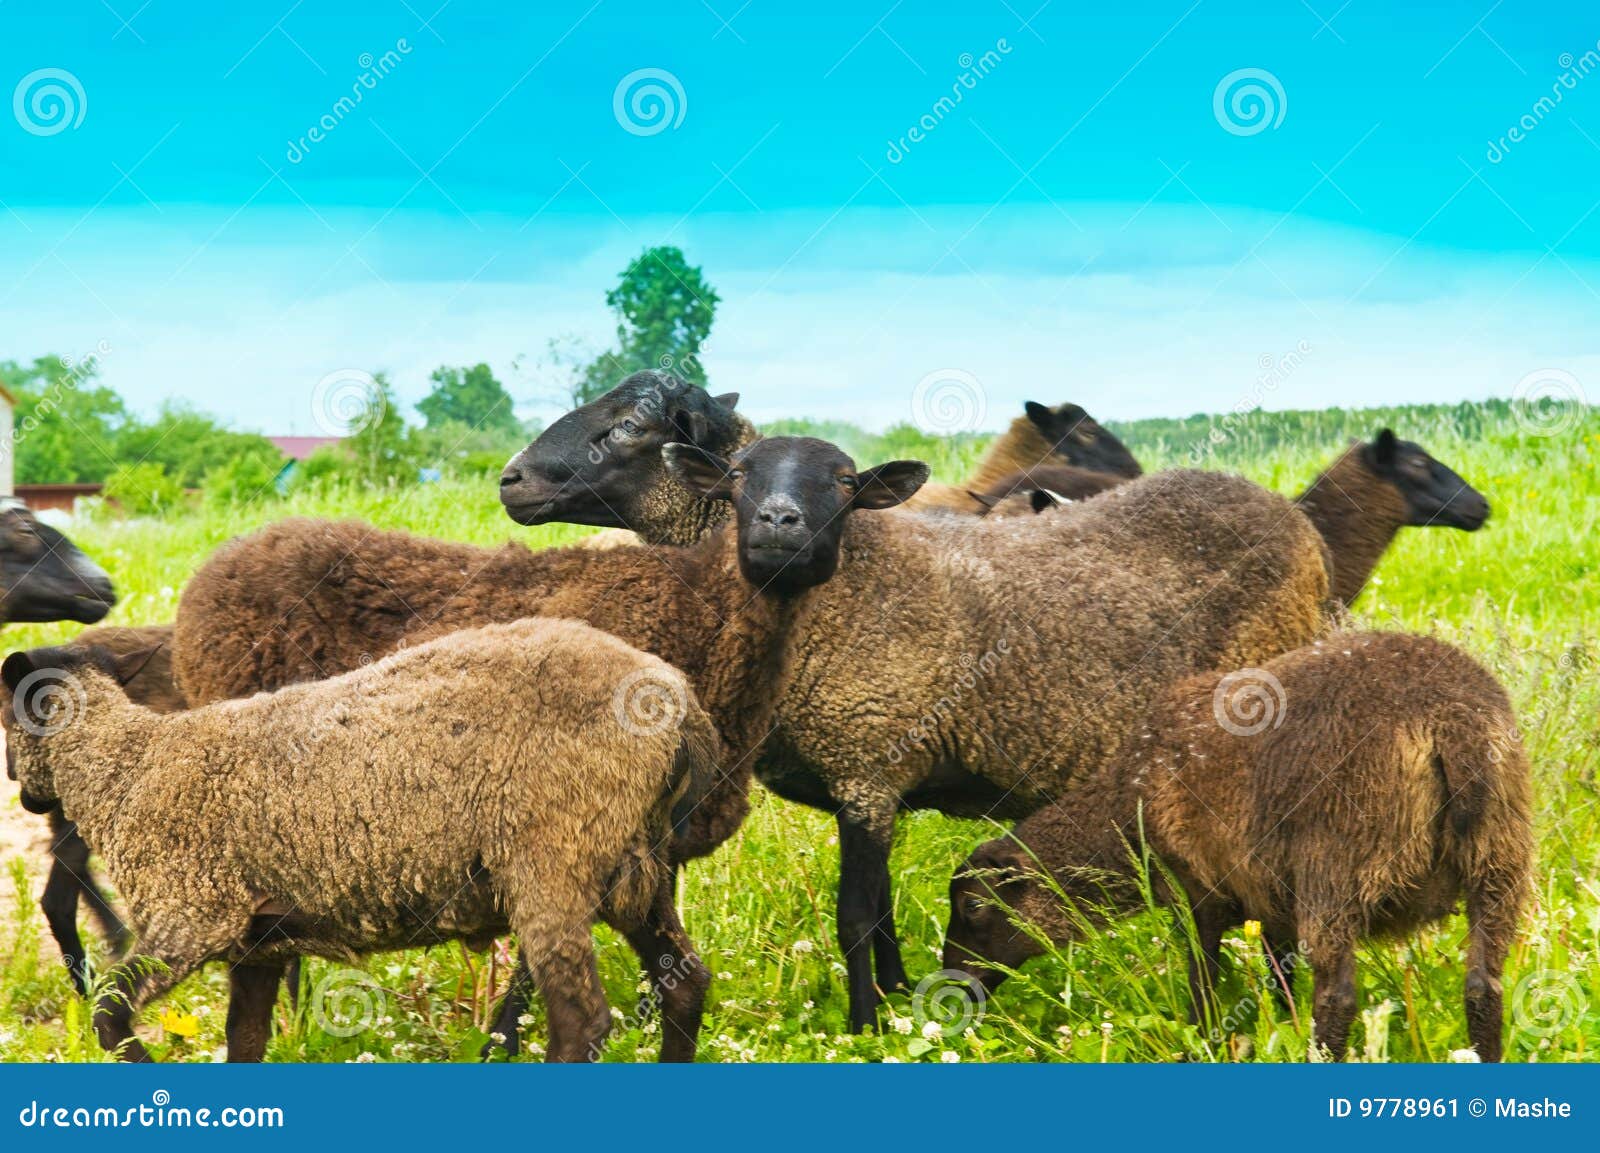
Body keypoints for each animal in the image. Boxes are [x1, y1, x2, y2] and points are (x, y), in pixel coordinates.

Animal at [3, 617, 719, 1063]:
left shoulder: (192, 914)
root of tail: (679, 702)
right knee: (685, 984)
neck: (123, 769)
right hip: (634, 864)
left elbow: (109, 1013)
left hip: (553, 856)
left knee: (582, 1021)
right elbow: (245, 1040)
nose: (23, 793)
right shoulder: (257, 943)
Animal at [941, 631, 1532, 1061]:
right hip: (1499, 857)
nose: (953, 988)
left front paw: (1198, 1041)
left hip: (1337, 865)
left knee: (1338, 994)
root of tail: (1449, 721)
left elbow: (1203, 978)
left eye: (973, 907)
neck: (1125, 809)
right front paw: (1278, 1028)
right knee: (1483, 986)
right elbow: (1280, 980)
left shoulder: (1199, 889)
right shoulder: (1270, 899)